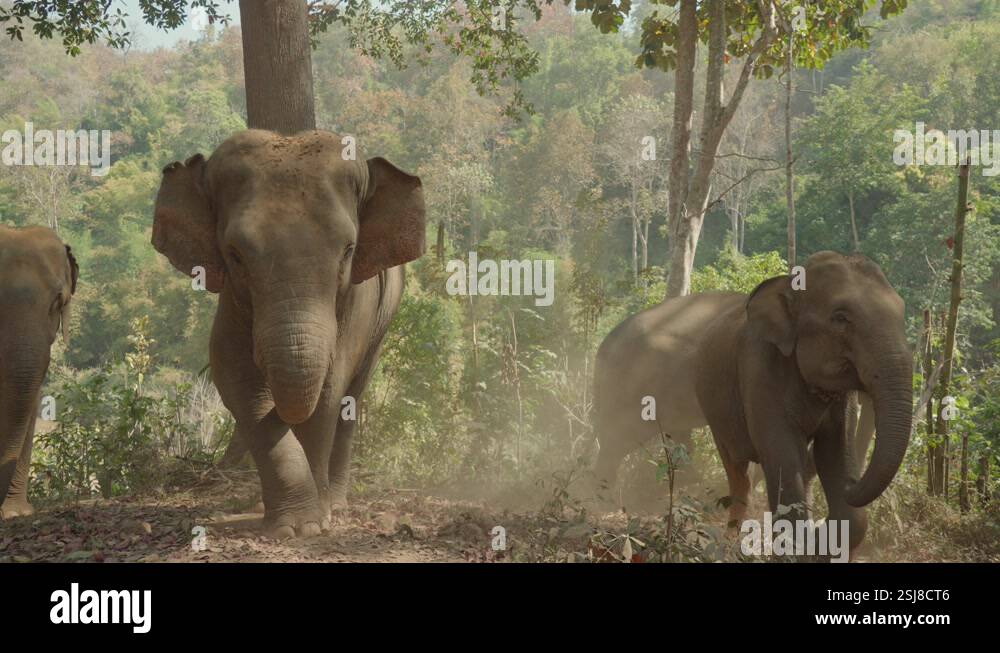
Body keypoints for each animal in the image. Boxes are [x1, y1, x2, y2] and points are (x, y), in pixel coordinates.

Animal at [152, 129, 425, 539]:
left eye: (348, 251)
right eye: (235, 254)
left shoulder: (356, 302)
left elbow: (329, 389)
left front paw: (316, 521)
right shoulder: (231, 298)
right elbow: (236, 379)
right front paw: (293, 525)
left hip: (384, 318)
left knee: (353, 395)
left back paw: (337, 502)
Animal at [593, 252, 912, 555]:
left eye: (902, 311)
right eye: (841, 317)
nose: (853, 483)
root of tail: (604, 345)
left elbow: (835, 452)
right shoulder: (758, 370)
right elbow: (783, 455)